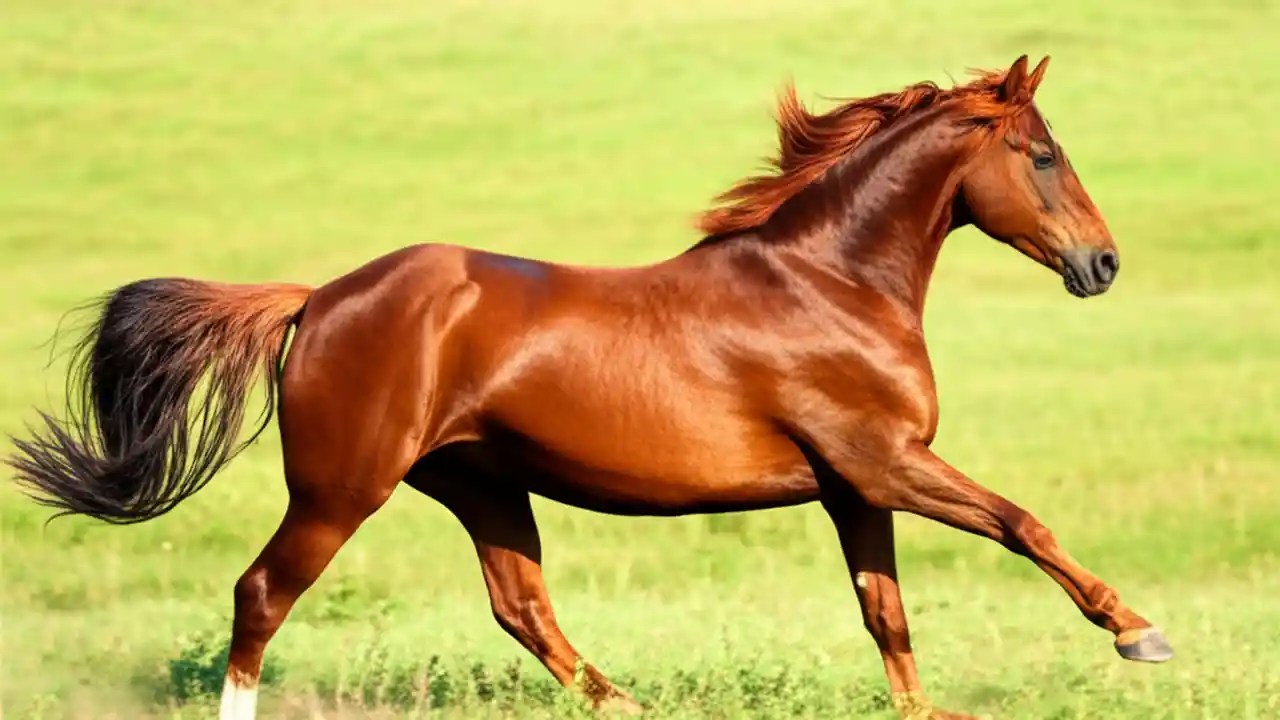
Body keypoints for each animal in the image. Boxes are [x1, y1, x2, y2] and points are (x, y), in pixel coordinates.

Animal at [8, 55, 1171, 720]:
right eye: (1042, 153)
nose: (1104, 264)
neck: (827, 285)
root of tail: (321, 297)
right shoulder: (886, 463)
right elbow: (1021, 523)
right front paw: (1137, 632)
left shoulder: (856, 486)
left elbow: (884, 613)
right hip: (341, 490)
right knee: (262, 596)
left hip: (479, 483)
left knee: (521, 607)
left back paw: (634, 706)